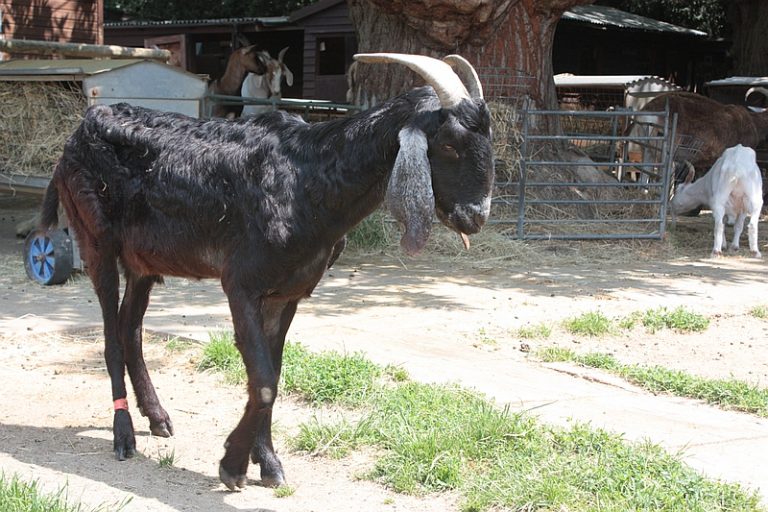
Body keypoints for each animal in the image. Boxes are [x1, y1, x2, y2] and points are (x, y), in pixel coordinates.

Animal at [38, 53, 494, 490]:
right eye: (450, 145)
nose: (476, 217)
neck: (310, 179)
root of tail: (76, 135)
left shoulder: (287, 291)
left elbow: (273, 372)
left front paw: (268, 462)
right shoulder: (241, 283)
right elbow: (262, 381)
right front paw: (233, 465)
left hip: (144, 261)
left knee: (130, 328)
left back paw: (158, 416)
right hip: (96, 241)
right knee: (111, 336)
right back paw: (124, 435)